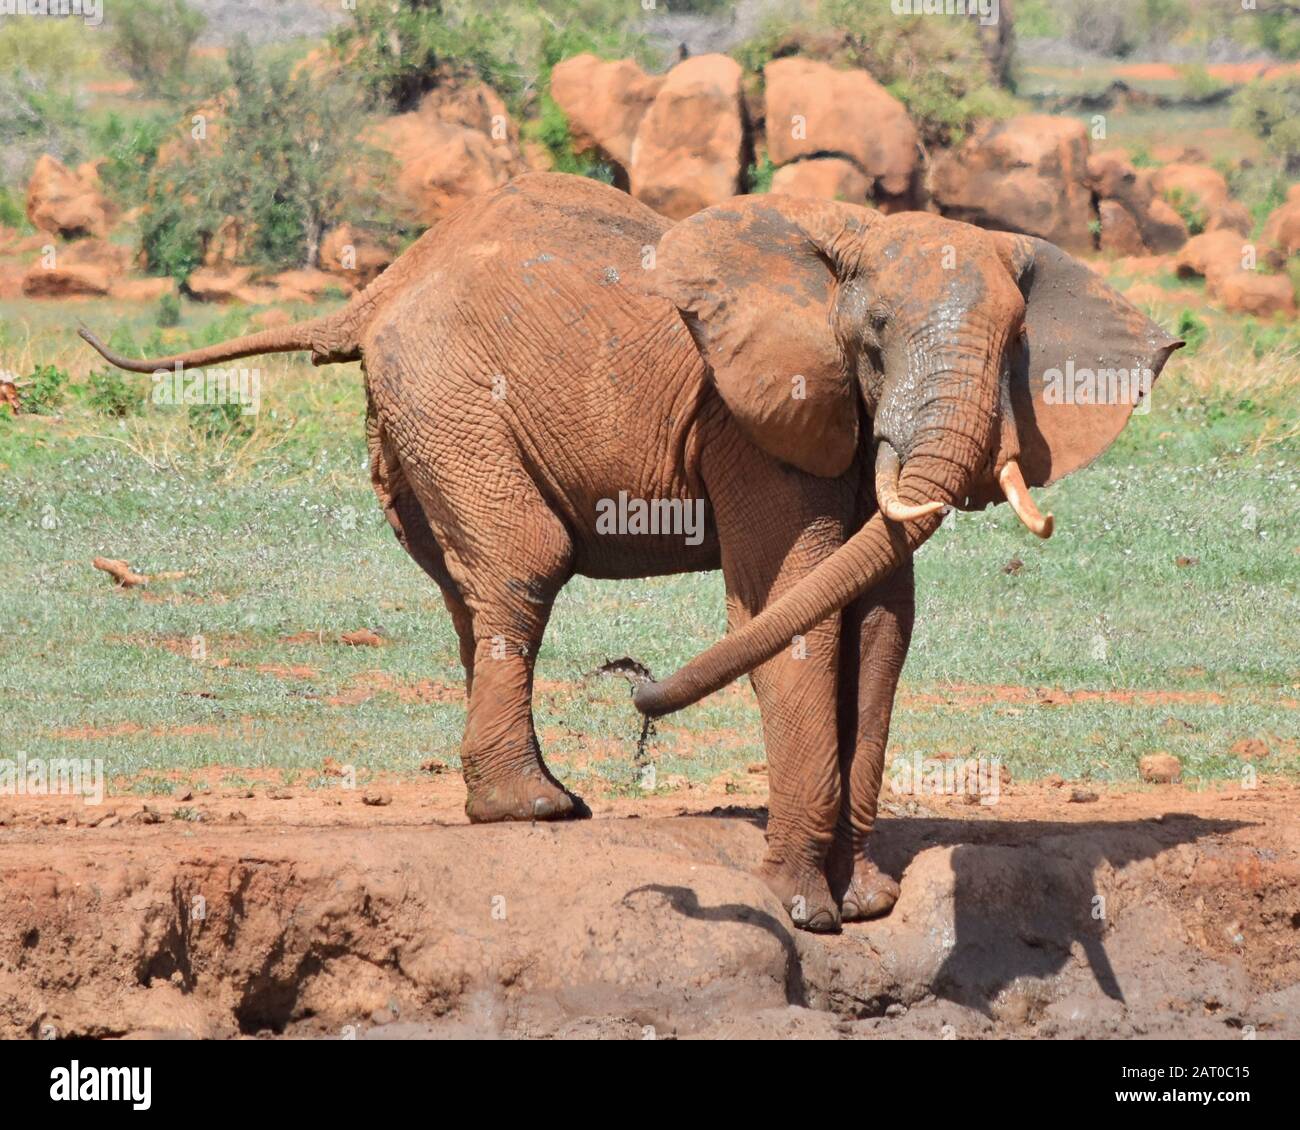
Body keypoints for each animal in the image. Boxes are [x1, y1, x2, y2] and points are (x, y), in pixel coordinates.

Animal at [81, 172, 1181, 932]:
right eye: (871, 334)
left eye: (1015, 345)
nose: (638, 692)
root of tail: (376, 289)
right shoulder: (750, 416)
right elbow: (792, 609)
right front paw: (803, 911)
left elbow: (881, 626)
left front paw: (865, 902)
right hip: (449, 399)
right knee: (520, 571)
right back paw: (539, 809)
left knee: (471, 596)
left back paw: (519, 796)